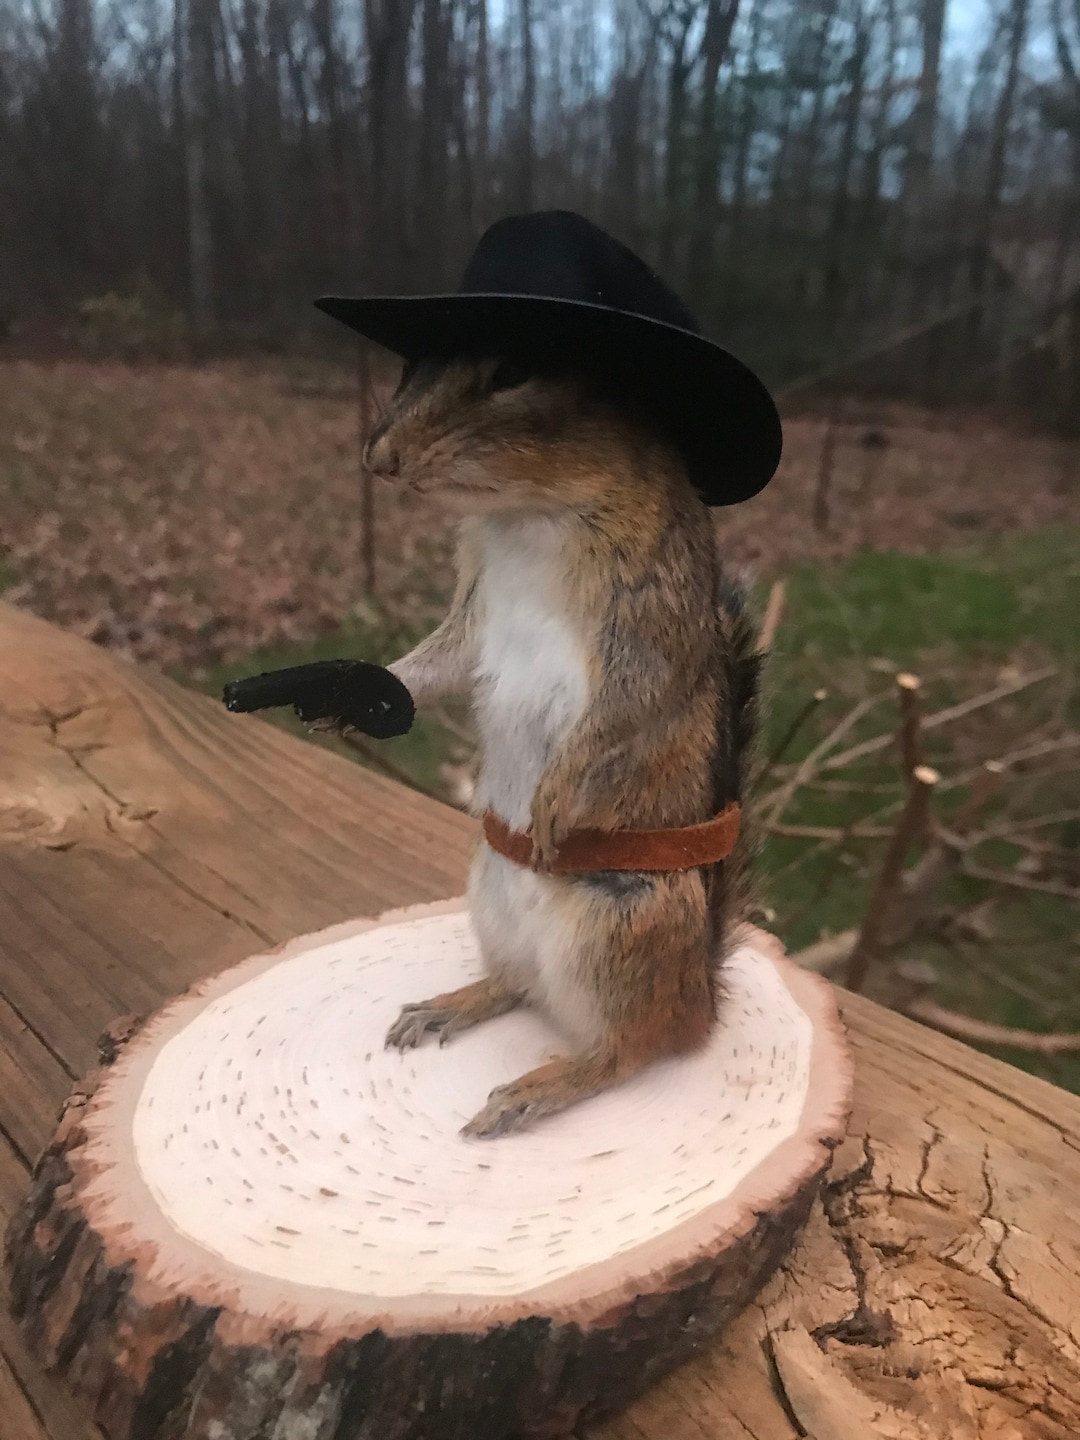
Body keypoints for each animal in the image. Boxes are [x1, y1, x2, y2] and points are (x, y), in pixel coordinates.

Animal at [363, 353, 764, 1138]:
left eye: (512, 373)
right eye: (414, 364)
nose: (381, 458)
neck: (528, 514)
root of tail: (701, 1001)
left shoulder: (653, 615)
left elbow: (626, 707)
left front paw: (555, 793)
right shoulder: (472, 609)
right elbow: (439, 663)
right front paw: (361, 690)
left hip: (623, 929)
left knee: (628, 1052)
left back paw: (540, 1088)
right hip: (490, 901)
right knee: (517, 987)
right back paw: (452, 1005)